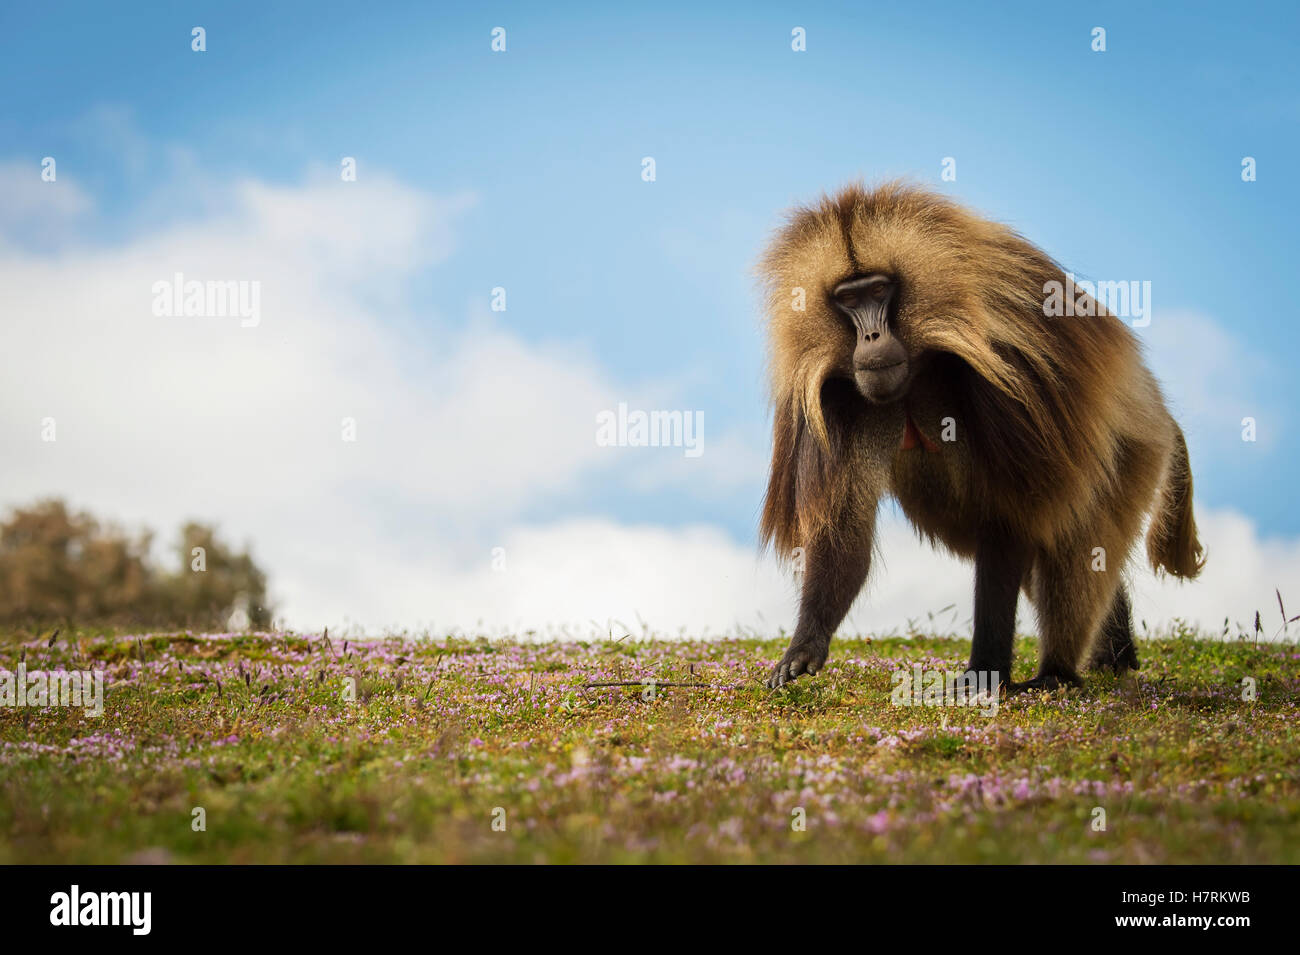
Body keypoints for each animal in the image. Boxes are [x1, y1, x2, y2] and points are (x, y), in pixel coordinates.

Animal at [758, 182, 1203, 691]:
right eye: (847, 300)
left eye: (879, 290)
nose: (870, 338)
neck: (920, 368)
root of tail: (1153, 399)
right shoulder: (841, 402)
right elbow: (842, 533)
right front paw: (804, 647)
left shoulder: (1010, 377)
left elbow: (1011, 517)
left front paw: (985, 674)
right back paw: (1113, 652)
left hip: (1134, 449)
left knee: (1073, 541)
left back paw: (1058, 673)